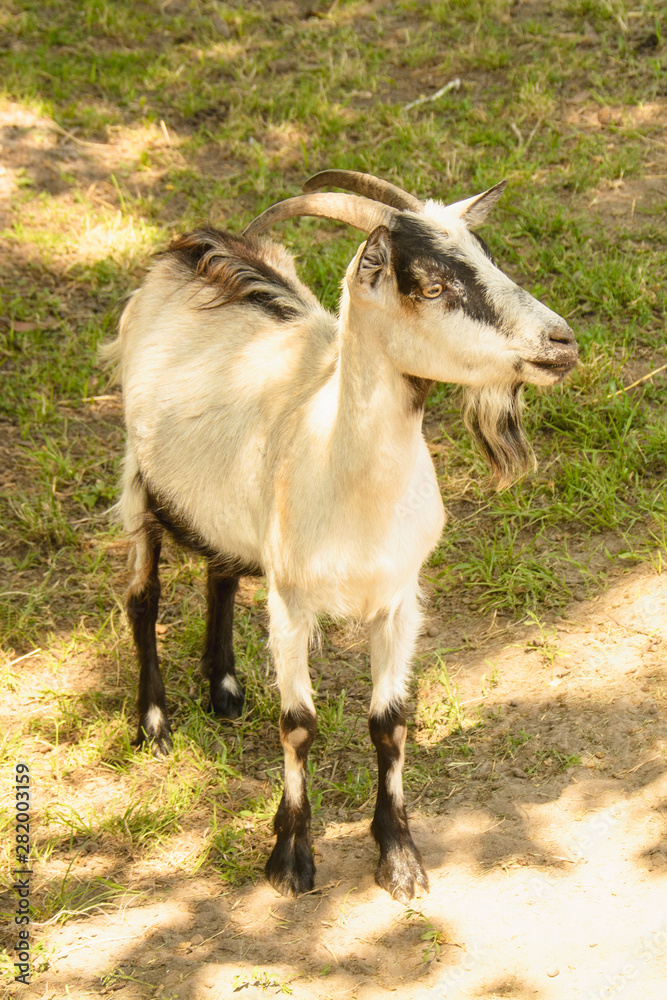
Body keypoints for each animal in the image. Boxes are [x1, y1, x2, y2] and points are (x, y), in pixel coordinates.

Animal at [104, 170, 577, 902]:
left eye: (488, 258)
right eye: (430, 285)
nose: (561, 343)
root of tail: (198, 244)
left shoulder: (399, 596)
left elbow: (390, 721)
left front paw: (400, 859)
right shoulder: (291, 600)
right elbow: (298, 725)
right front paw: (291, 858)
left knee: (220, 572)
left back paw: (225, 690)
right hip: (138, 476)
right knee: (143, 594)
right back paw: (153, 723)